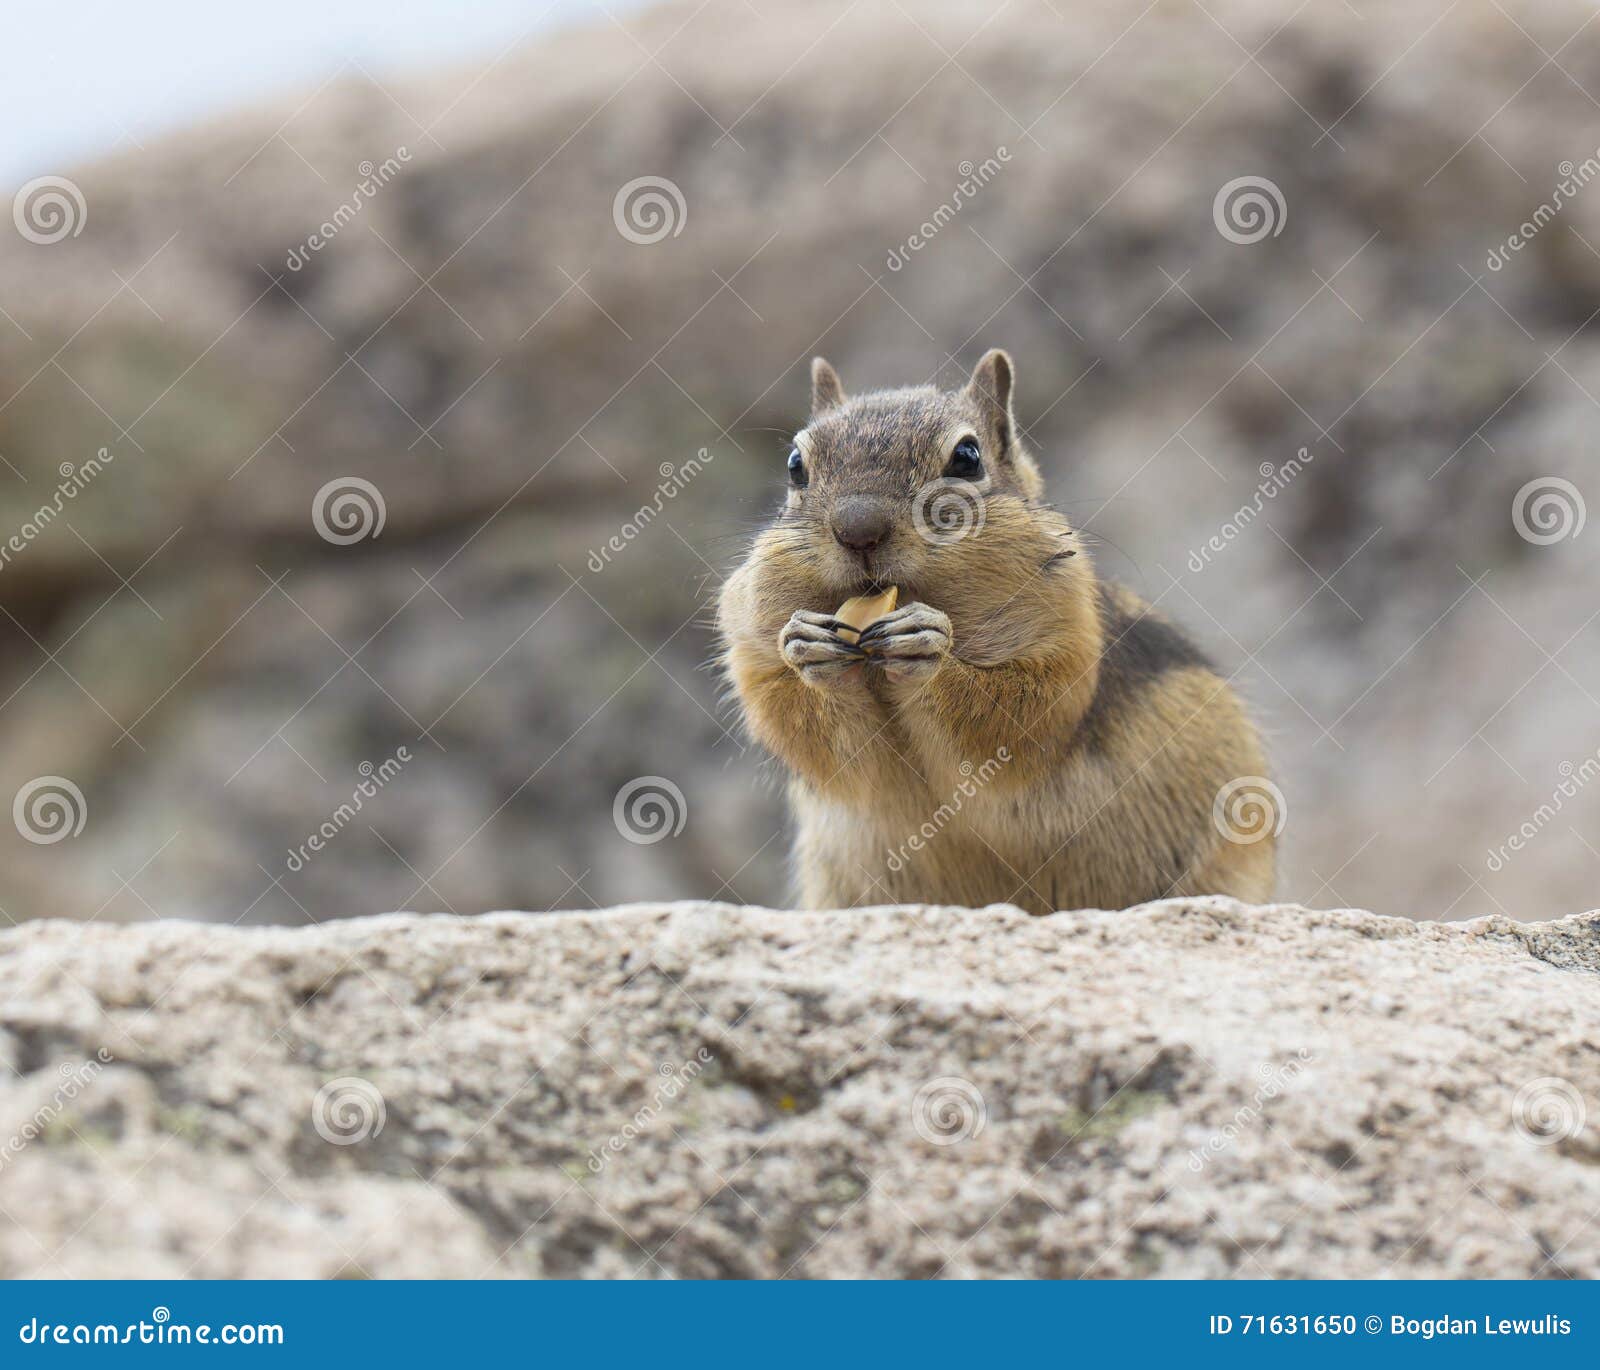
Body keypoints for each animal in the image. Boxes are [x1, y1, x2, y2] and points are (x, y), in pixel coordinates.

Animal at [716, 349, 1276, 915]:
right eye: (795, 466)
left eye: (967, 457)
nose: (858, 529)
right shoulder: (752, 652)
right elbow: (820, 742)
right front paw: (807, 649)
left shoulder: (1064, 642)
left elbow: (1015, 715)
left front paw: (928, 650)